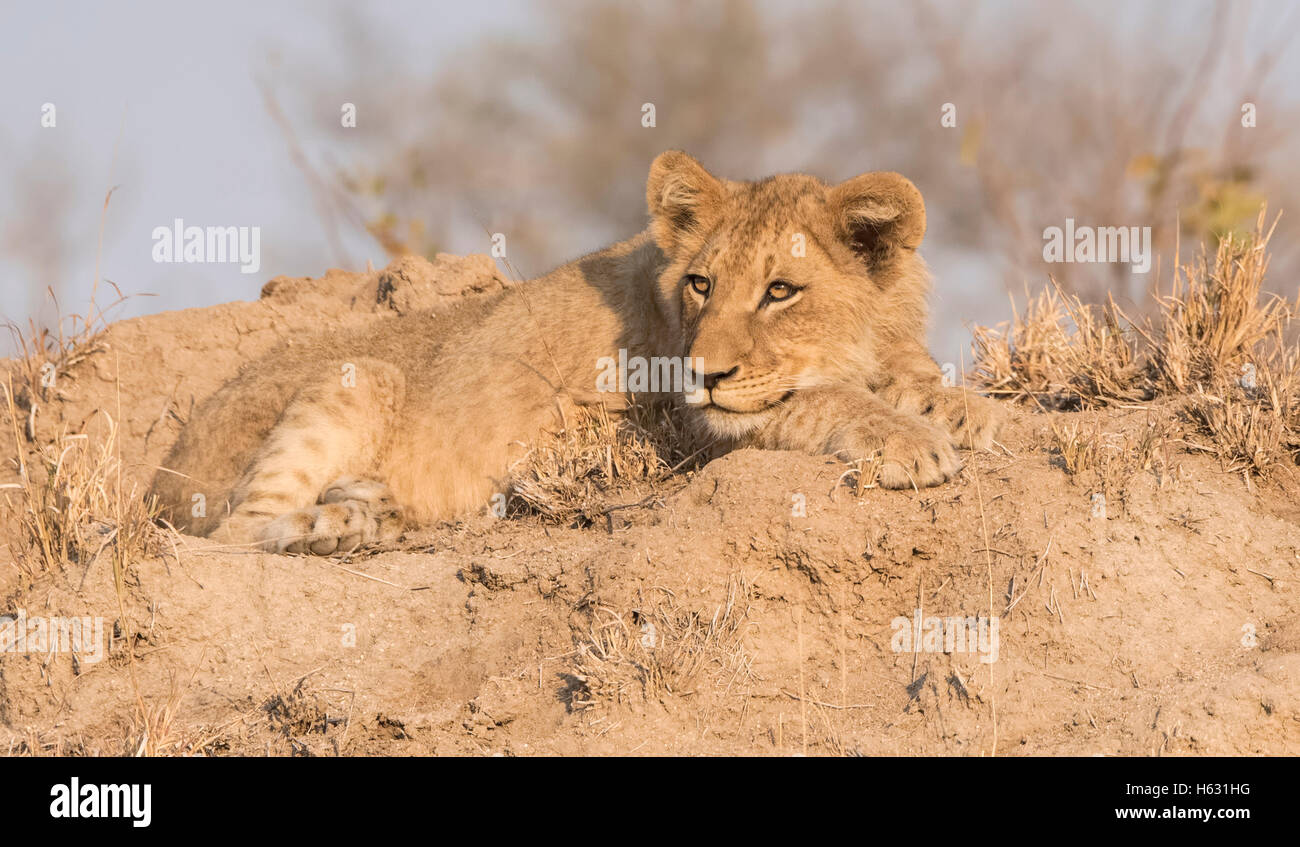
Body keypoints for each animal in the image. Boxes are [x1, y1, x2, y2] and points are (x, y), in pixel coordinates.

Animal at [150, 151, 1003, 555]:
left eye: (781, 291)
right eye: (702, 283)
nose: (704, 371)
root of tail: (165, 465)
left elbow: (922, 383)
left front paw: (972, 415)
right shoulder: (666, 425)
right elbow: (819, 398)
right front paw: (914, 443)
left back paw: (370, 513)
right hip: (364, 377)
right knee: (228, 533)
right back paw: (334, 528)